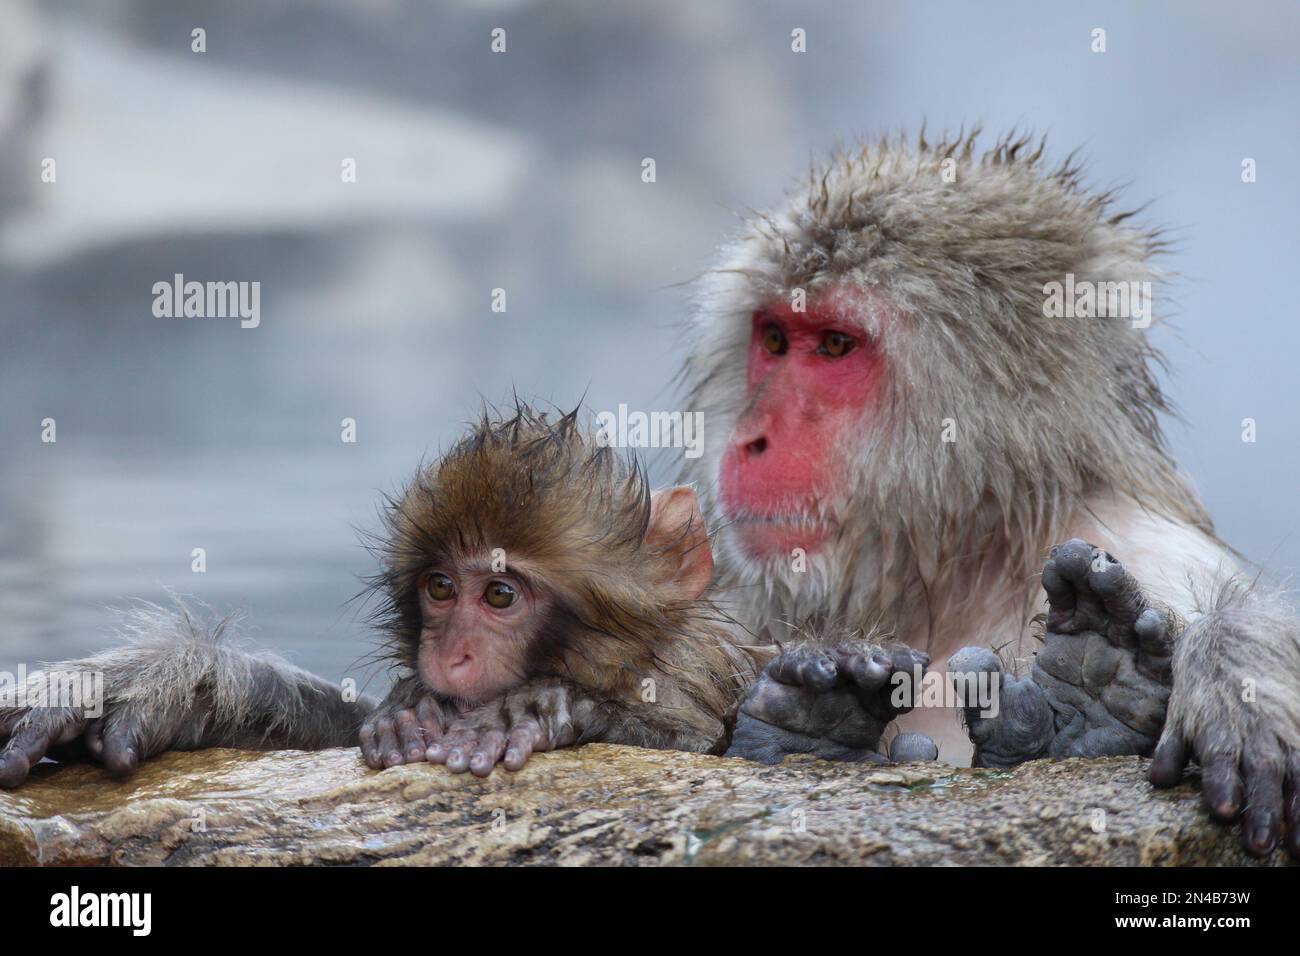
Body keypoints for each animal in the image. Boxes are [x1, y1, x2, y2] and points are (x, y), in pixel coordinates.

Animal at [0, 404, 932, 786]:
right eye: (442, 588)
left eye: (502, 595)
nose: (449, 651)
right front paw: (167, 685)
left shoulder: (694, 665)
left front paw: (544, 710)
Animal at [676, 128, 1300, 859]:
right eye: (774, 339)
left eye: (834, 345)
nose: (752, 440)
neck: (961, 564)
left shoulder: (1141, 547)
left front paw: (1238, 670)